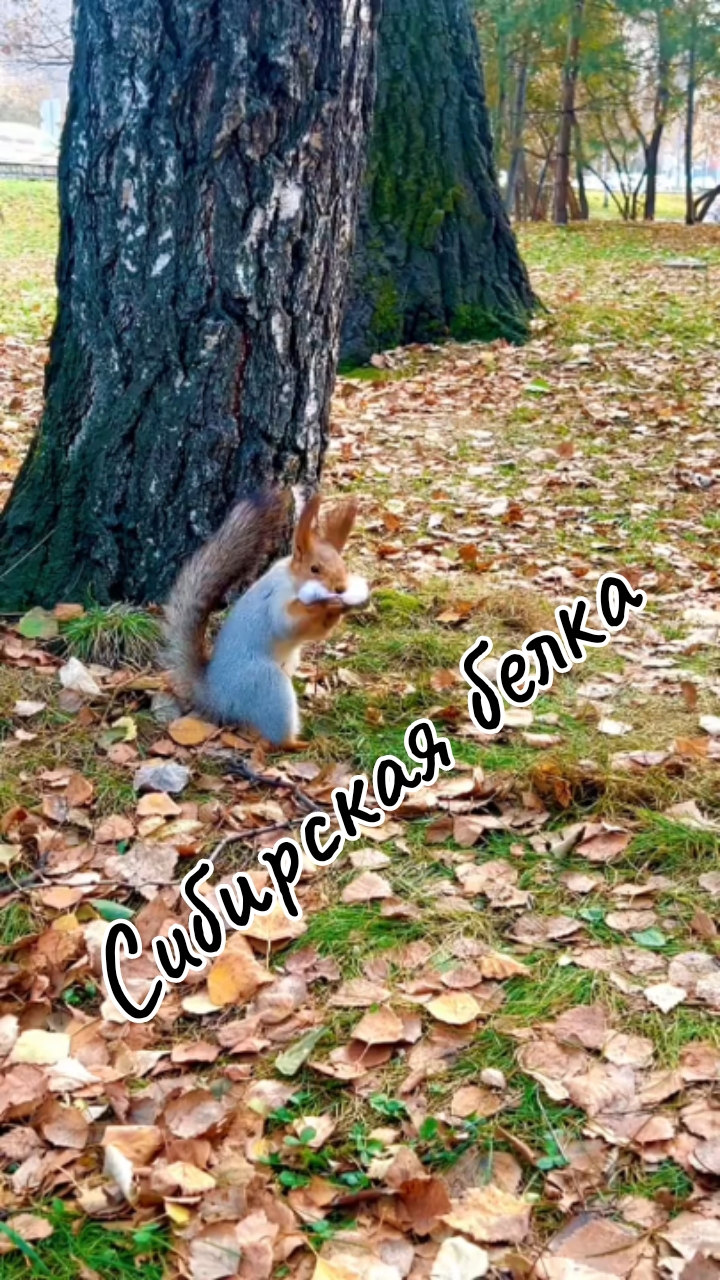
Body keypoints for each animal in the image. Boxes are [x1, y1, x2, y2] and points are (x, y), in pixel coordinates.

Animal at [163, 489, 370, 748]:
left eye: (343, 564)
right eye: (314, 569)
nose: (341, 588)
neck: (293, 581)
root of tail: (215, 694)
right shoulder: (275, 600)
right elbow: (287, 624)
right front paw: (327, 606)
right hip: (266, 686)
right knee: (278, 739)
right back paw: (302, 743)